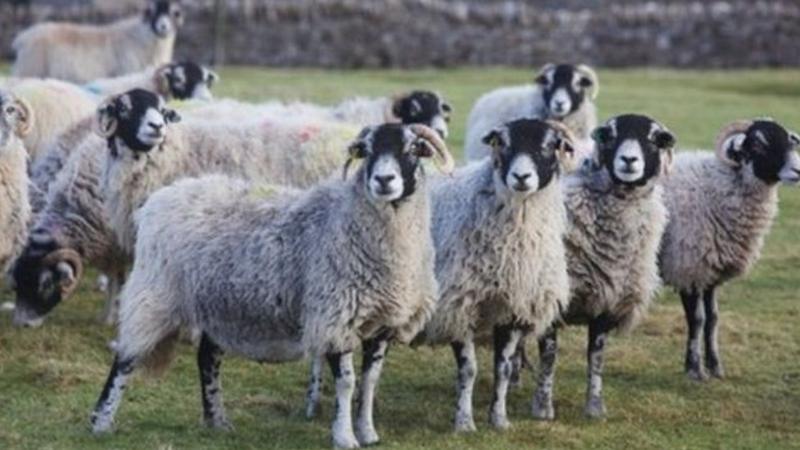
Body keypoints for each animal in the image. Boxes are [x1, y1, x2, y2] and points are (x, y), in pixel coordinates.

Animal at [11, 0, 183, 83]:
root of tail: (23, 37)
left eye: (175, 13)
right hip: (29, 69)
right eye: (151, 11)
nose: (163, 27)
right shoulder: (127, 72)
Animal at [89, 123, 455, 449]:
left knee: (207, 359)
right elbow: (348, 384)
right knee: (124, 360)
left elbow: (369, 383)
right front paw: (344, 438)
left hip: (219, 306)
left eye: (412, 149)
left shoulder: (382, 323)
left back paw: (217, 422)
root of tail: (161, 198)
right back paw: (101, 422)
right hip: (154, 295)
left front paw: (368, 433)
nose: (383, 180)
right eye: (366, 151)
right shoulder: (333, 317)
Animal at [528, 114, 675, 420]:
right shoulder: (552, 299)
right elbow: (549, 355)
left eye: (654, 138)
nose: (629, 160)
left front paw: (595, 407)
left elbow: (596, 356)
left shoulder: (607, 302)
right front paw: (543, 407)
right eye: (609, 135)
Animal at [658, 119, 800, 381]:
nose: (798, 171)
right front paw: (694, 369)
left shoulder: (711, 272)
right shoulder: (688, 268)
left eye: (789, 142)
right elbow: (697, 319)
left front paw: (715, 366)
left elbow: (713, 319)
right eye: (758, 144)